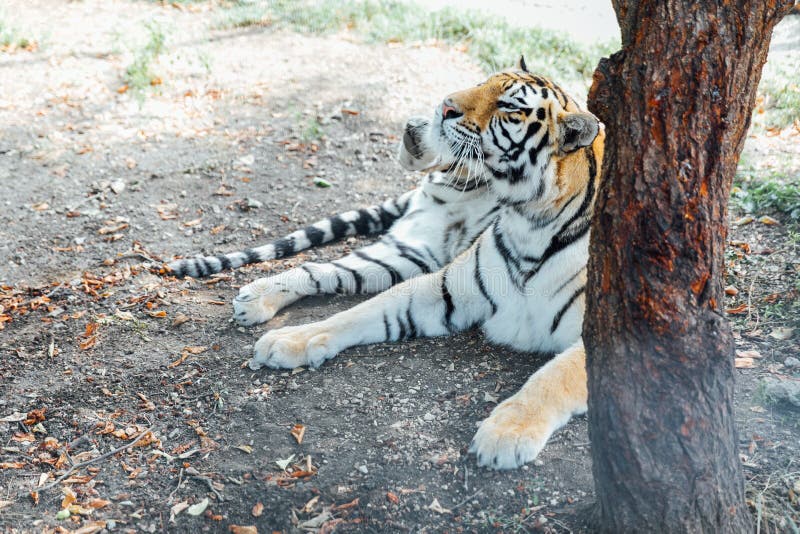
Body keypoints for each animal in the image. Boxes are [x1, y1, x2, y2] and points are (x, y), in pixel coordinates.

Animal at [168, 58, 604, 469]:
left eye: (508, 106)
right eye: (483, 83)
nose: (443, 106)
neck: (529, 220)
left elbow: (551, 379)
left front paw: (506, 434)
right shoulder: (445, 287)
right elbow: (357, 313)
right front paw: (289, 339)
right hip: (408, 249)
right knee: (322, 269)